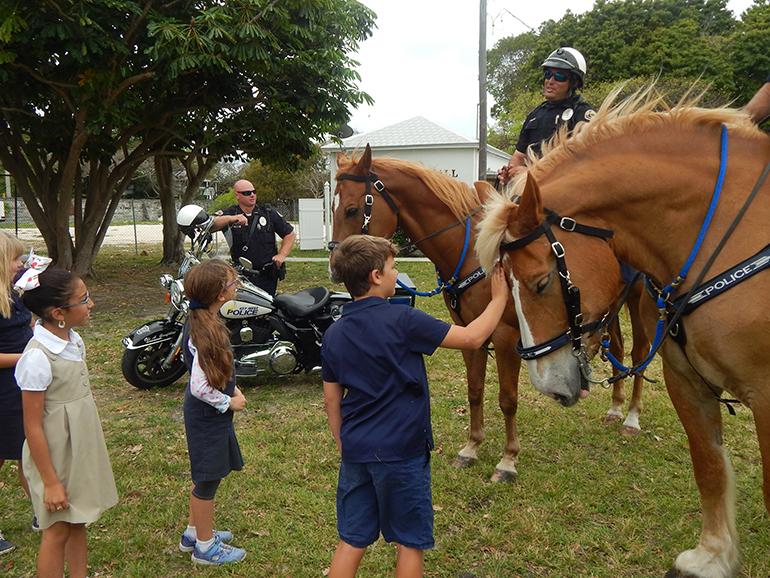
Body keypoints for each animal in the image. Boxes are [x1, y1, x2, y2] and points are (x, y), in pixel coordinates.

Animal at [328, 145, 644, 482]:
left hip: (639, 304)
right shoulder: (469, 334)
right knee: (618, 348)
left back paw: (631, 418)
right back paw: (615, 409)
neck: (470, 255)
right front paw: (472, 447)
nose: (335, 268)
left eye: (351, 210)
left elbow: (507, 399)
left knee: (639, 354)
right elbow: (475, 391)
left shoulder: (506, 338)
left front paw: (508, 460)